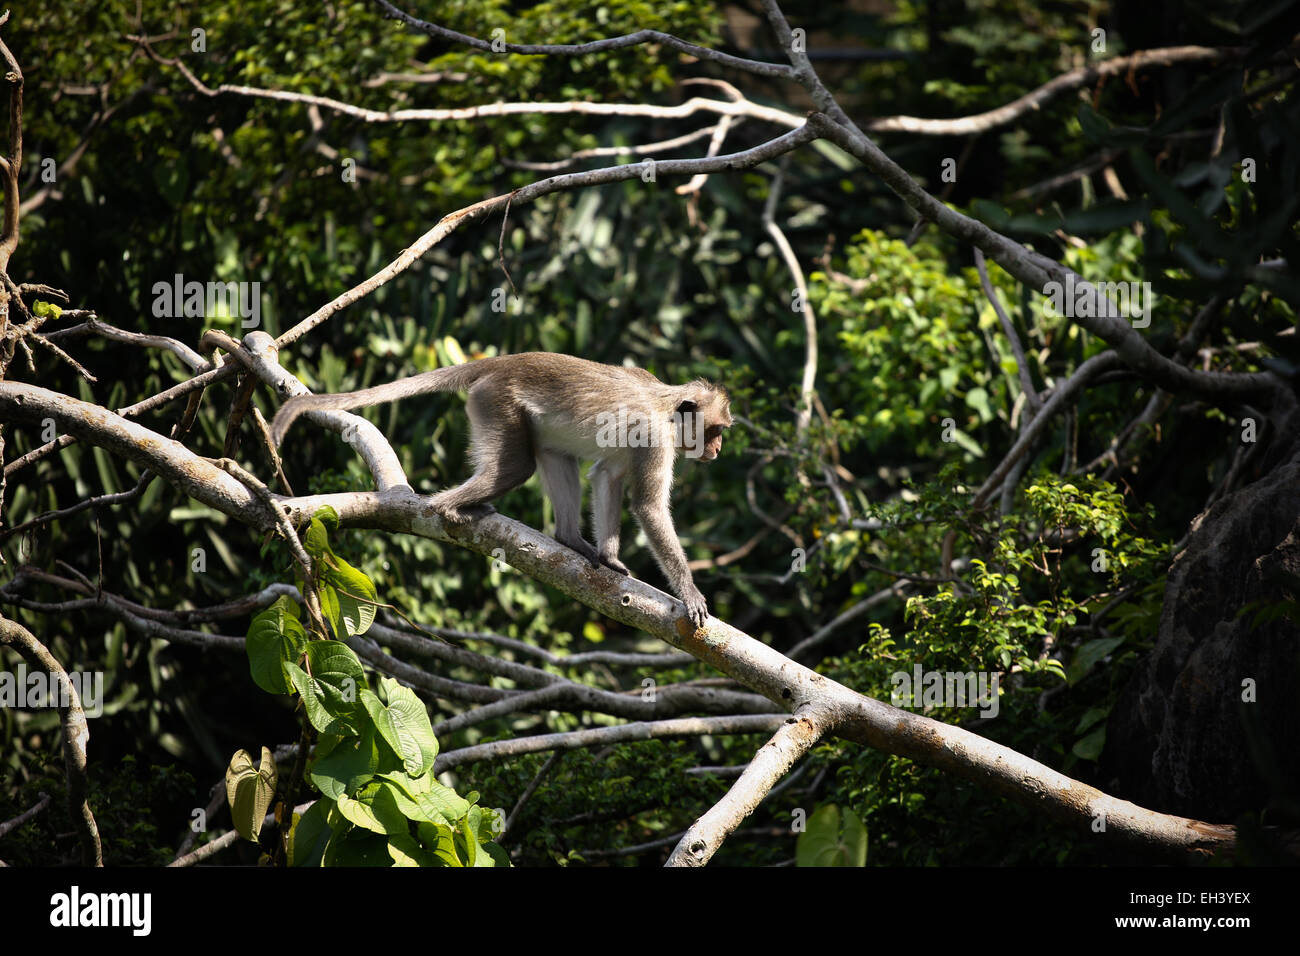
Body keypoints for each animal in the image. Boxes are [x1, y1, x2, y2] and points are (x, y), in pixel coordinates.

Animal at [271, 353, 731, 627]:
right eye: (715, 430)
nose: (717, 449)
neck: (666, 404)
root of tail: (505, 361)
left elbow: (606, 476)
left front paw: (610, 558)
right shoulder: (655, 439)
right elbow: (649, 508)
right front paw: (689, 592)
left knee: (553, 456)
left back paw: (569, 539)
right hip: (496, 402)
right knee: (515, 467)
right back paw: (449, 508)